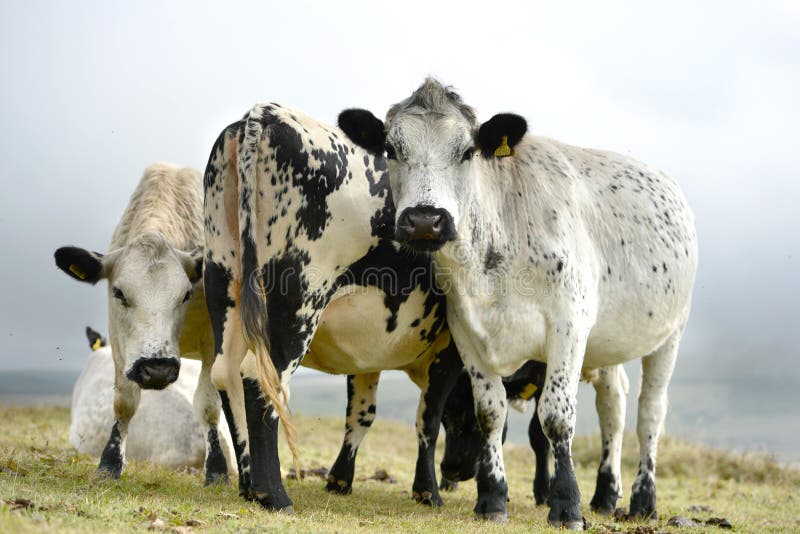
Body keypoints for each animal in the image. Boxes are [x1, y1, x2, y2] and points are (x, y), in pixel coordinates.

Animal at [338, 78, 698, 528]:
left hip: (670, 333)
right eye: (390, 149)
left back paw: (642, 500)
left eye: (467, 151)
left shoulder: (568, 327)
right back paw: (604, 495)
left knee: (650, 411)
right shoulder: (468, 334)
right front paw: (492, 498)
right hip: (607, 343)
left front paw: (566, 505)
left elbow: (557, 417)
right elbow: (491, 412)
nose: (424, 220)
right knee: (612, 406)